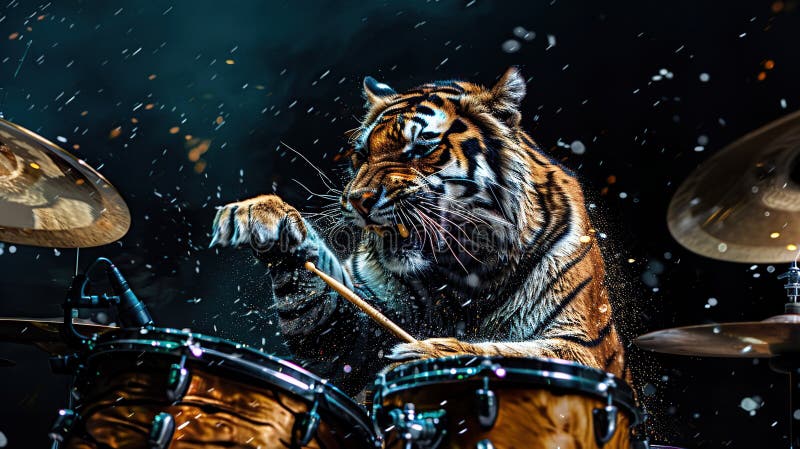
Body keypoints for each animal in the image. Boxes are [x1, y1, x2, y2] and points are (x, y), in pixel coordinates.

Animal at [209, 67, 627, 395]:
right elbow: (319, 308)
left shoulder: (582, 348)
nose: (357, 200)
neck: (463, 271)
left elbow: (506, 351)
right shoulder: (353, 337)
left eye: (420, 148)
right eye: (361, 155)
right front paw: (264, 216)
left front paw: (429, 353)